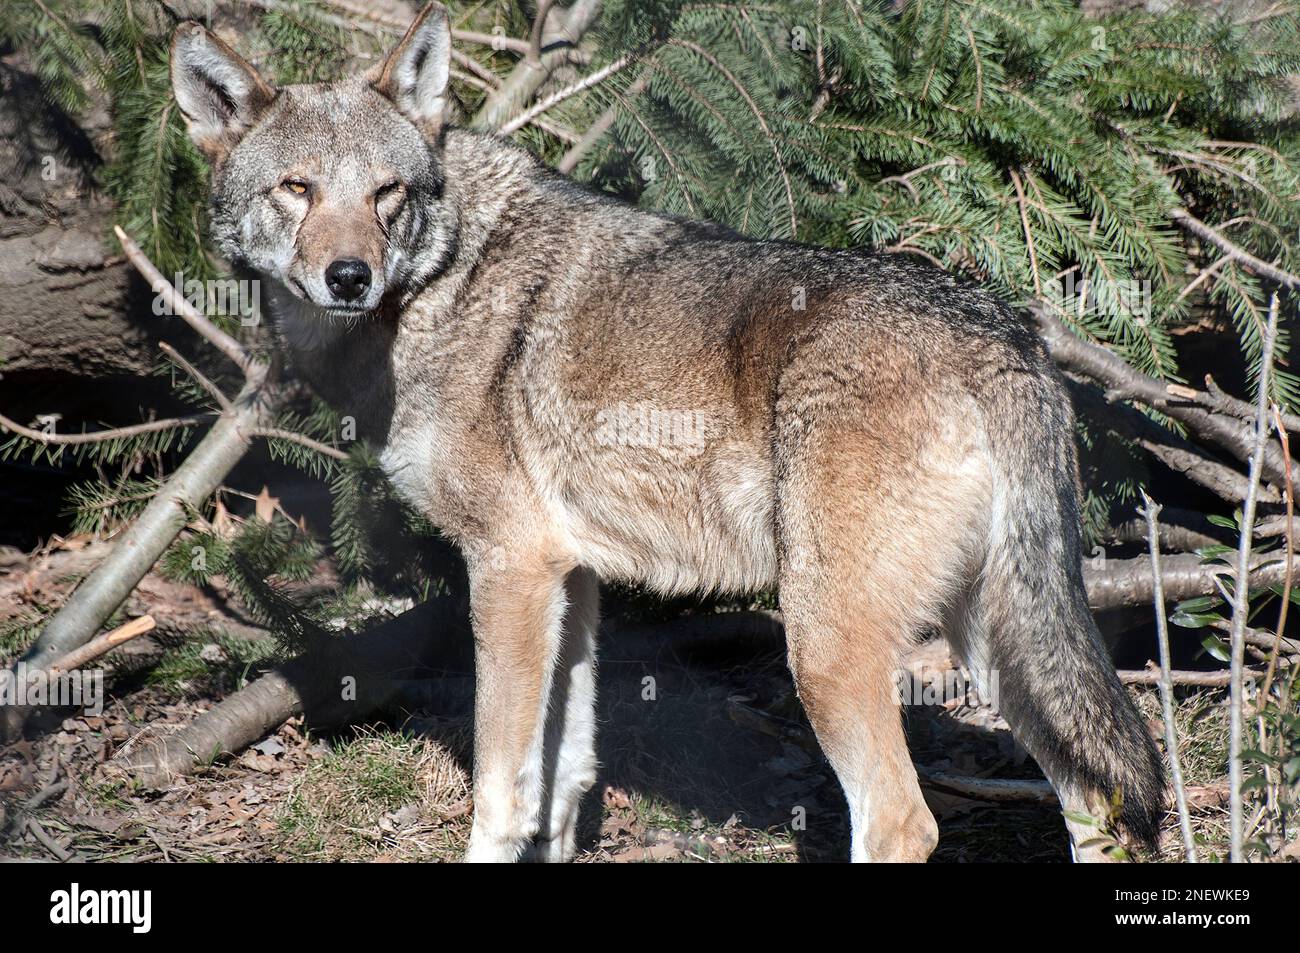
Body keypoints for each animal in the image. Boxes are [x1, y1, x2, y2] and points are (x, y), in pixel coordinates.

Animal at [171, 2, 1166, 862]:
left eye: (387, 194)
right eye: (297, 190)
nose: (350, 275)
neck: (438, 288)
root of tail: (1007, 335)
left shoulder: (510, 567)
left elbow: (501, 790)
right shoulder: (571, 575)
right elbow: (563, 777)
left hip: (826, 645)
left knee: (903, 822)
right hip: (991, 644)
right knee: (1097, 801)